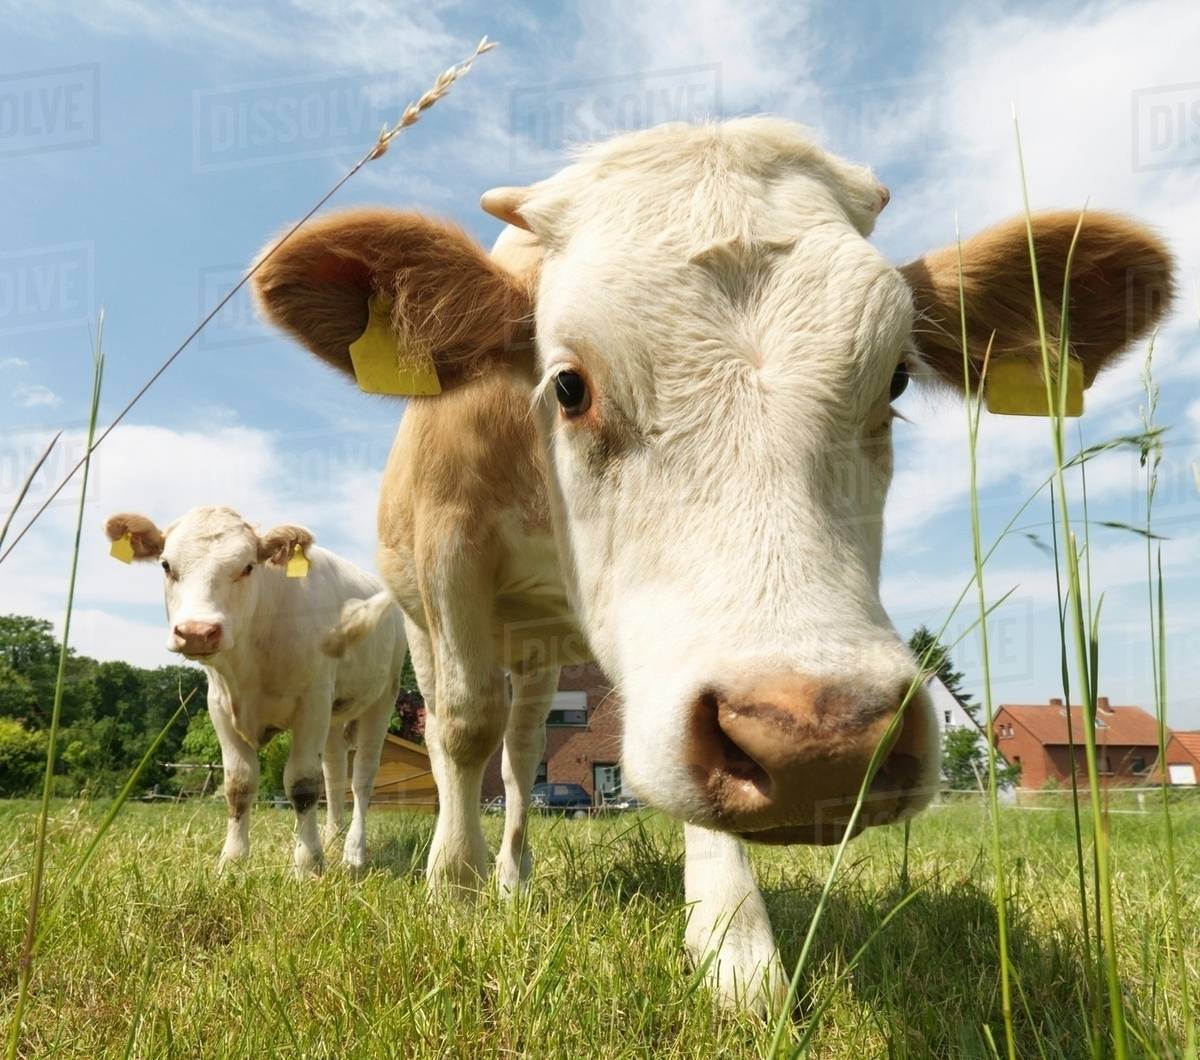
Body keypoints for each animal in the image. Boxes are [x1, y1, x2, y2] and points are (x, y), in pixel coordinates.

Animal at [104, 506, 407, 874]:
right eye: (165, 564)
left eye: (248, 566)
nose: (196, 631)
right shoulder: (219, 706)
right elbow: (239, 784)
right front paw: (233, 861)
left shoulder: (312, 702)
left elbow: (302, 784)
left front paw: (308, 864)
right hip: (335, 714)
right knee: (335, 772)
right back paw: (333, 838)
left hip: (382, 697)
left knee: (362, 776)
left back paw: (354, 852)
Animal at [251, 118, 1172, 1007]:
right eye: (569, 384)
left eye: (898, 381)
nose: (824, 744)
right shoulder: (452, 553)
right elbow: (462, 725)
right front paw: (453, 888)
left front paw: (734, 944)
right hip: (421, 617)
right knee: (459, 730)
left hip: (541, 652)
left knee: (520, 748)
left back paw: (516, 872)